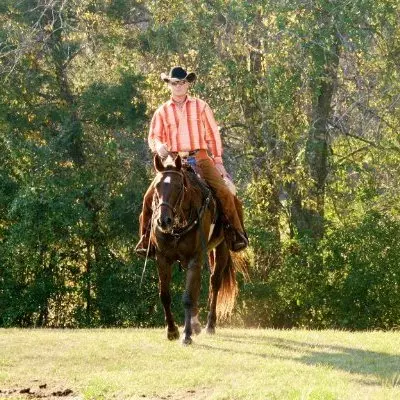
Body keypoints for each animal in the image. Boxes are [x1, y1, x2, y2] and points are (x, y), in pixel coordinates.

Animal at [150, 153, 248, 344]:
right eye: (157, 185)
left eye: (179, 186)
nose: (163, 221)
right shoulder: (162, 258)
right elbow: (165, 295)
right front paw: (172, 331)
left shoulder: (195, 258)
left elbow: (189, 297)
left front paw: (186, 335)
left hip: (221, 248)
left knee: (214, 283)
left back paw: (210, 325)